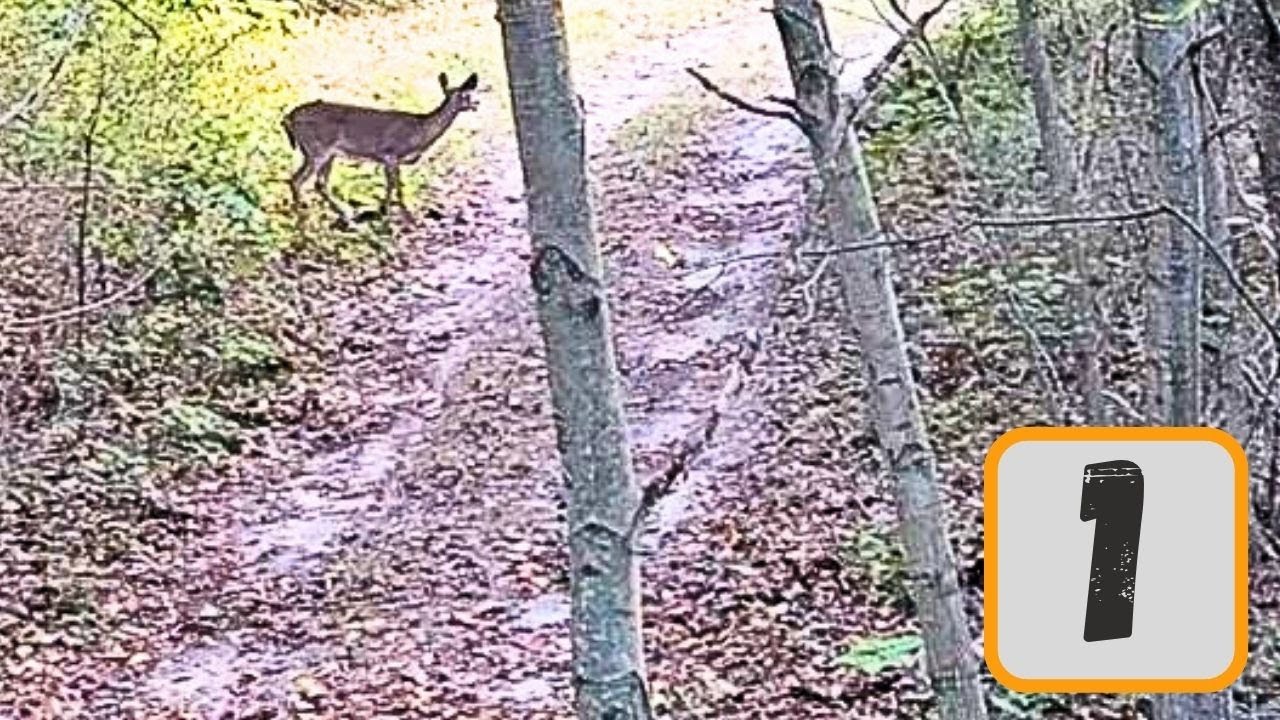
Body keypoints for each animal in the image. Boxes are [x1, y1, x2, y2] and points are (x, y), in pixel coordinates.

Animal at [282, 71, 479, 225]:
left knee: (316, 183)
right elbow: (395, 185)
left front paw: (386, 211)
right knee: (299, 180)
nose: (476, 105)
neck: (420, 133)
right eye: (466, 96)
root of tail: (289, 118)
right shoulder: (390, 154)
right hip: (318, 149)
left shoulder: (390, 160)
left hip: (323, 154)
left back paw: (342, 214)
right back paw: (302, 217)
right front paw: (400, 214)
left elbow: (393, 184)